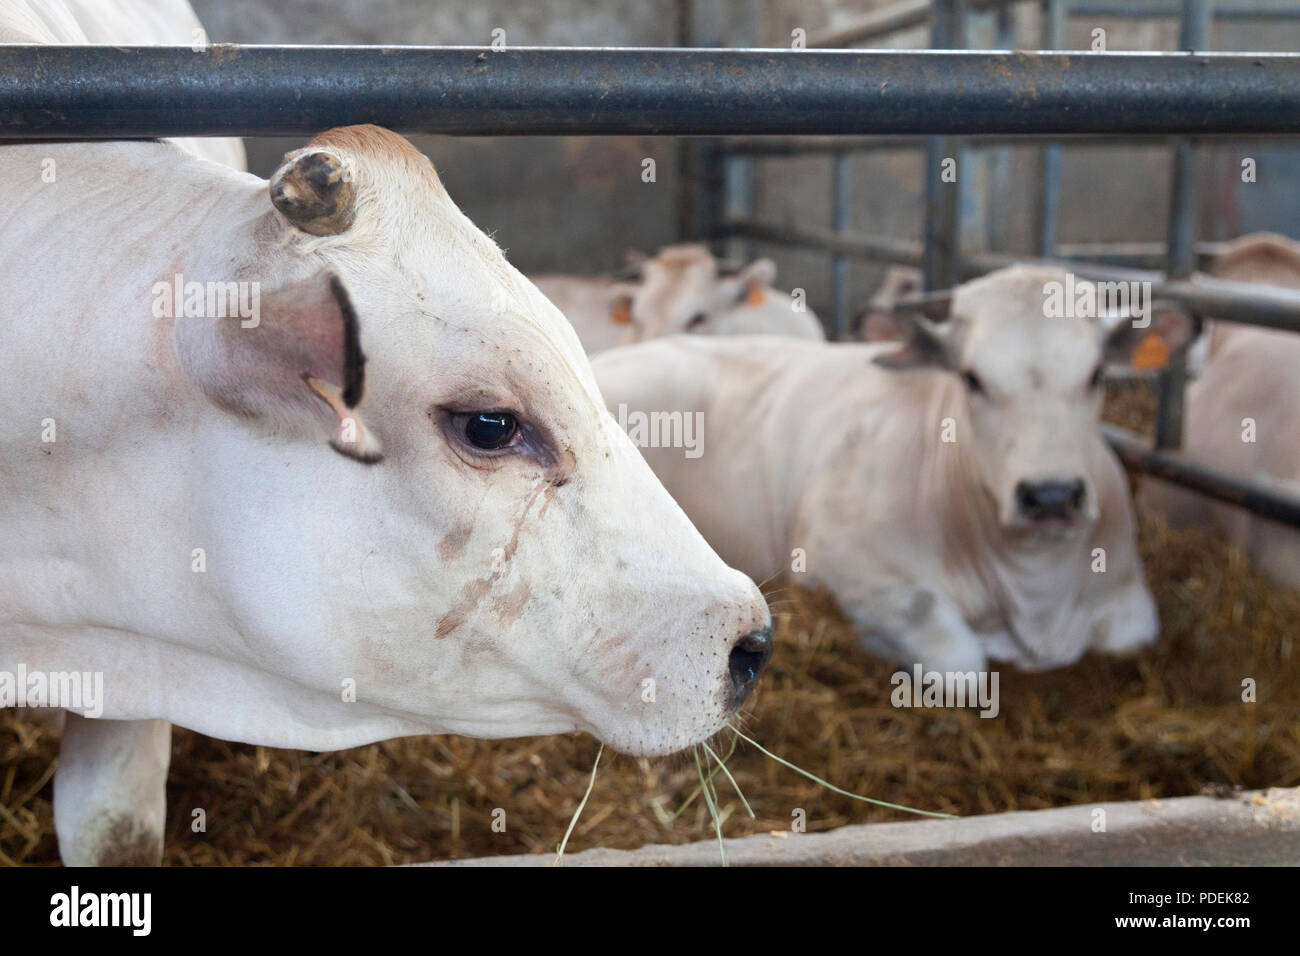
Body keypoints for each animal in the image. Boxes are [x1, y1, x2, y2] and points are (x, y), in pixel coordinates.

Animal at [593, 265, 1195, 675]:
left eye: (1097, 375)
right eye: (972, 378)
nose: (1051, 496)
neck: (1034, 588)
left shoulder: (1129, 595)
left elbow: (1129, 636)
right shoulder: (843, 565)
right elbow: (960, 659)